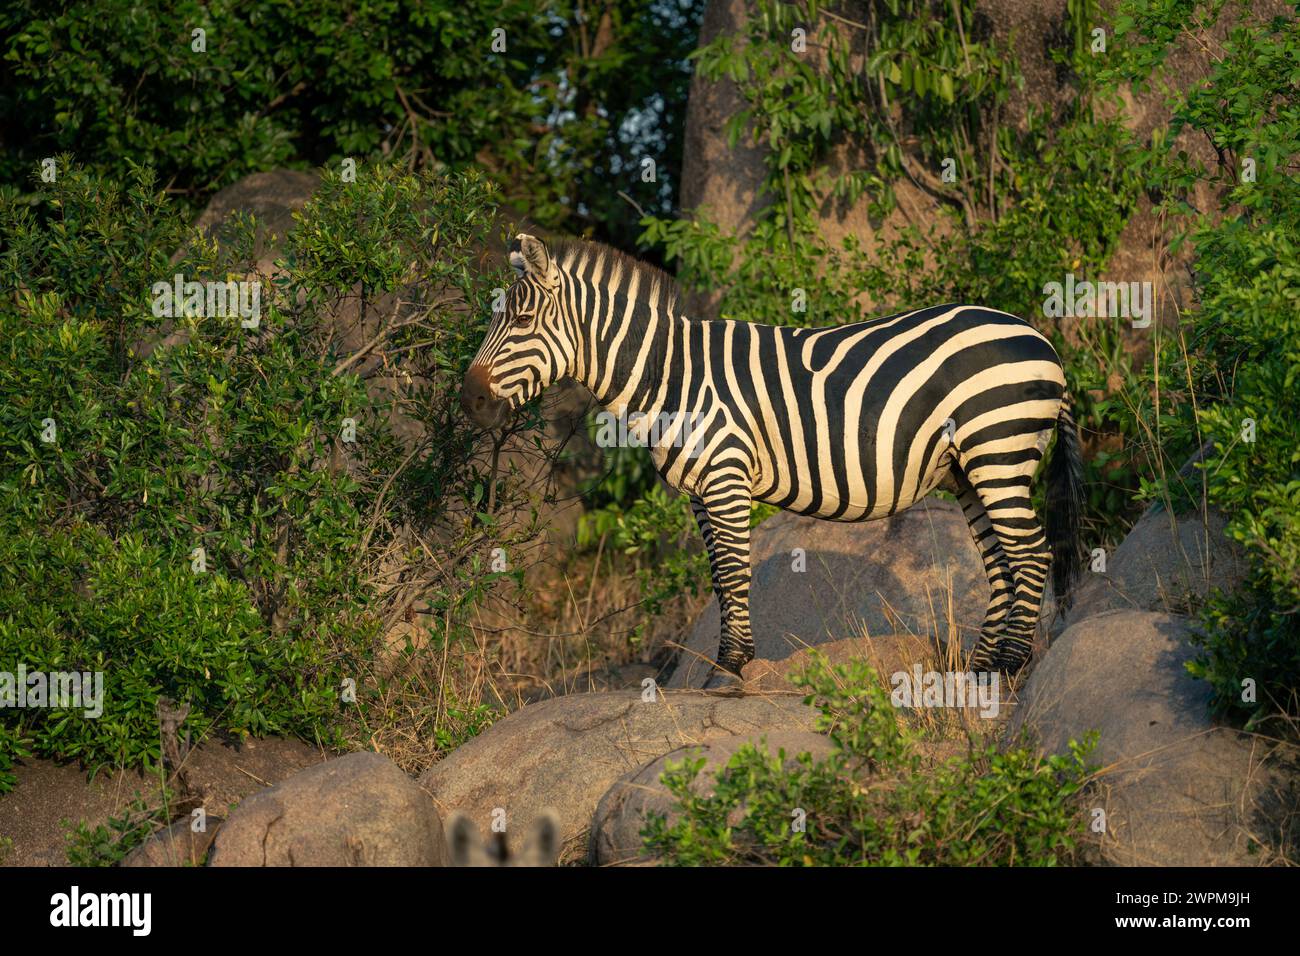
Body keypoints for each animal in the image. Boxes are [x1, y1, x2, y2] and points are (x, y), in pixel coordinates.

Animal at [461, 233, 1084, 686]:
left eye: (521, 323)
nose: (470, 401)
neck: (669, 374)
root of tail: (1042, 340)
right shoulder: (699, 490)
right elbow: (718, 575)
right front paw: (725, 666)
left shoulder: (725, 475)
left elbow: (735, 572)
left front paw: (730, 671)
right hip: (969, 471)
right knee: (1002, 564)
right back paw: (981, 672)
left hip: (998, 450)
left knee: (1032, 553)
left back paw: (1010, 666)